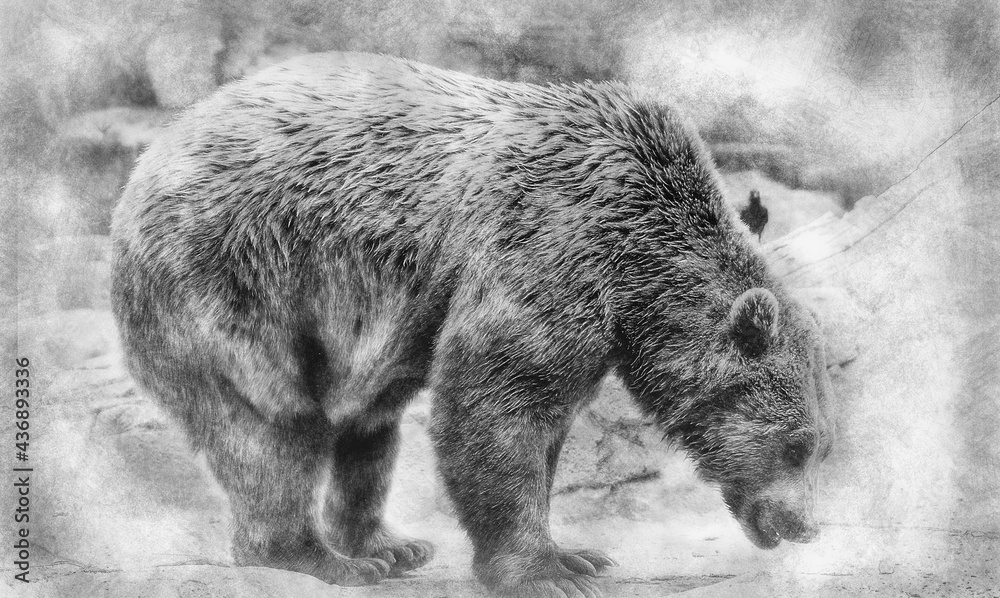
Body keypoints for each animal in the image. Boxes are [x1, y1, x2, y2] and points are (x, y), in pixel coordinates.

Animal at [110, 51, 834, 598]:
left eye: (823, 447)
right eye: (798, 444)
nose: (807, 526)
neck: (636, 259)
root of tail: (150, 159)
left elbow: (543, 418)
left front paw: (576, 553)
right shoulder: (550, 247)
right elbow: (498, 402)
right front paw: (549, 571)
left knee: (368, 427)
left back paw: (391, 544)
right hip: (230, 281)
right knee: (271, 426)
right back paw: (319, 559)